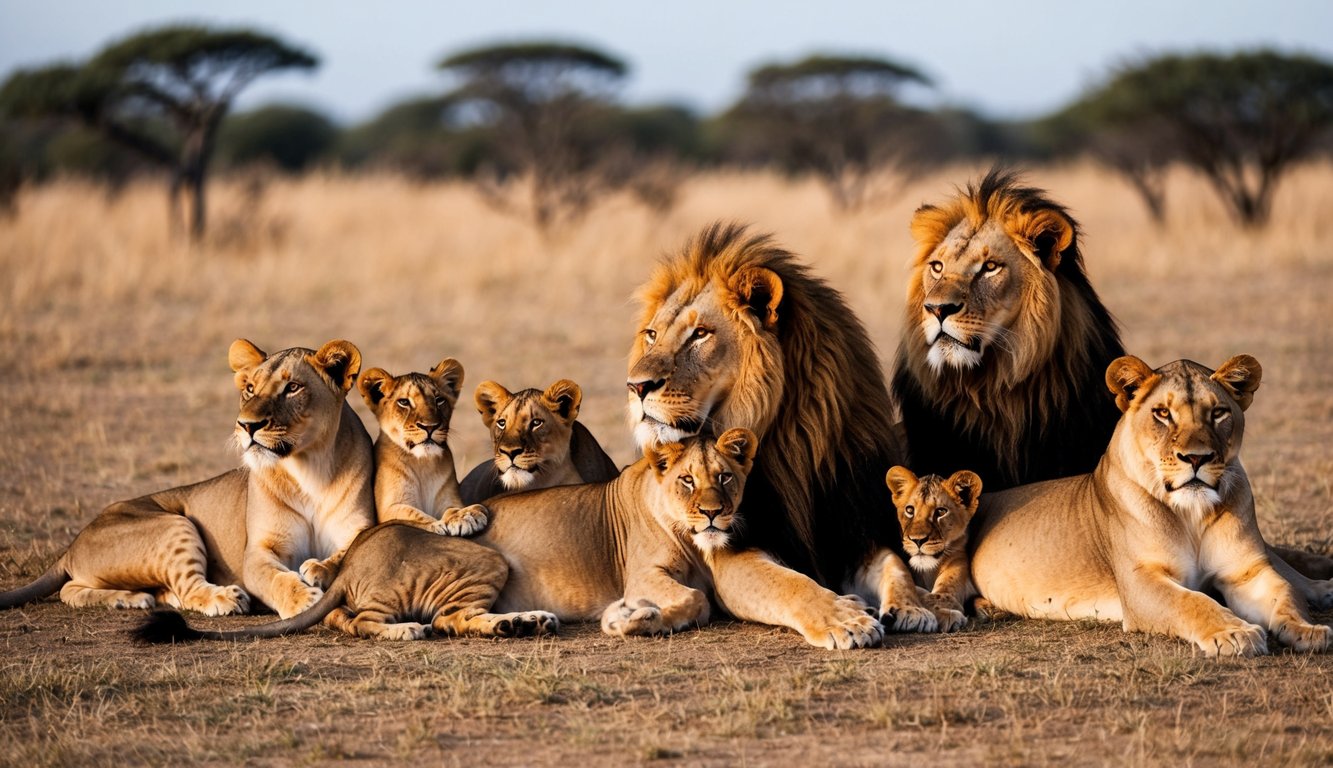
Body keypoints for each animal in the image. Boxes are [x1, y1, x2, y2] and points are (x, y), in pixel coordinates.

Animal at [0, 339, 376, 619]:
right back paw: (221, 598)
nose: (246, 426)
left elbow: (349, 547)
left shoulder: (357, 526)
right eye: (250, 388)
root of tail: (74, 543)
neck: (309, 468)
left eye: (293, 388)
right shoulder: (257, 552)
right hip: (175, 525)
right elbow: (276, 579)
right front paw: (306, 600)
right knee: (182, 585)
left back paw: (133, 598)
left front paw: (319, 570)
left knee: (76, 588)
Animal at [357, 359, 488, 535]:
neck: (423, 463)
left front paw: (466, 515)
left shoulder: (449, 498)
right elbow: (415, 514)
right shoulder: (389, 507)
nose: (430, 427)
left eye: (439, 400)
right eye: (404, 402)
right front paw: (440, 524)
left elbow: (452, 508)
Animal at [625, 222, 941, 633]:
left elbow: (896, 566)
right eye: (651, 335)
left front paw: (913, 608)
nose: (635, 386)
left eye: (700, 334)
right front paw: (846, 619)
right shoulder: (730, 551)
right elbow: (793, 584)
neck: (794, 443)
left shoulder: (856, 531)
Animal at [883, 466, 981, 632]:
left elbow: (940, 595)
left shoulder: (960, 566)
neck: (928, 570)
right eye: (910, 510)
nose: (918, 540)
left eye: (941, 511)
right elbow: (919, 592)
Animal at [970, 354, 1332, 656]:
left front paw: (1308, 629)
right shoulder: (1139, 582)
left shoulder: (1245, 571)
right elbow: (1192, 601)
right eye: (1163, 413)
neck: (1191, 515)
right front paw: (1234, 633)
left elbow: (1285, 595)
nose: (1197, 458)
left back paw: (1324, 589)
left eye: (1218, 412)